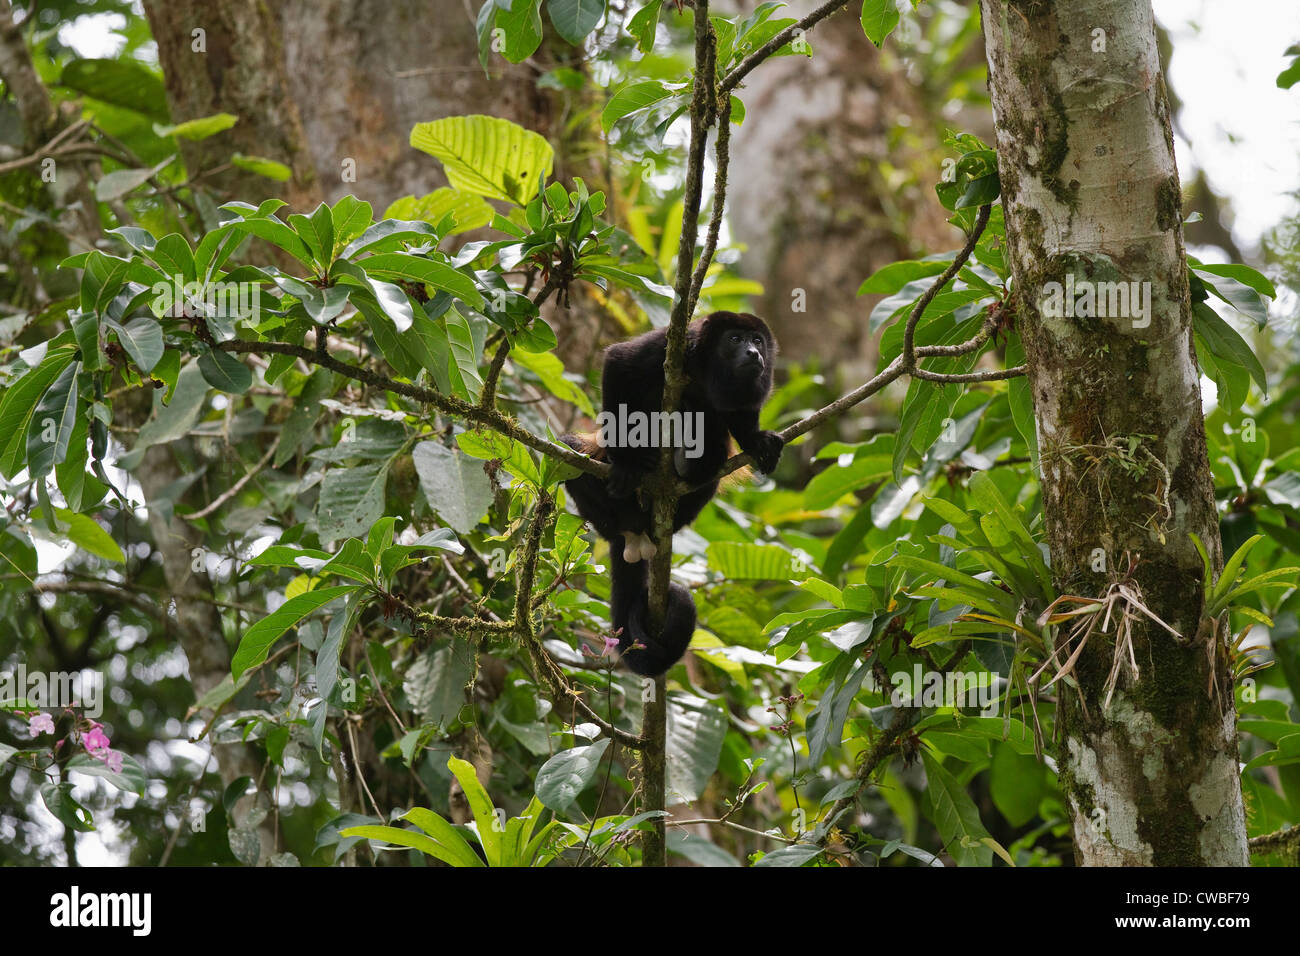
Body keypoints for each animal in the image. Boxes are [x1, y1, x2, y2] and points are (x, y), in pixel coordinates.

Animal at [562, 311, 784, 676]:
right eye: (735, 339)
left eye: (757, 340)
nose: (754, 353)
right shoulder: (670, 345)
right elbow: (619, 362)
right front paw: (625, 461)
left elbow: (740, 415)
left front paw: (757, 440)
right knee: (570, 451)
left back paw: (690, 460)